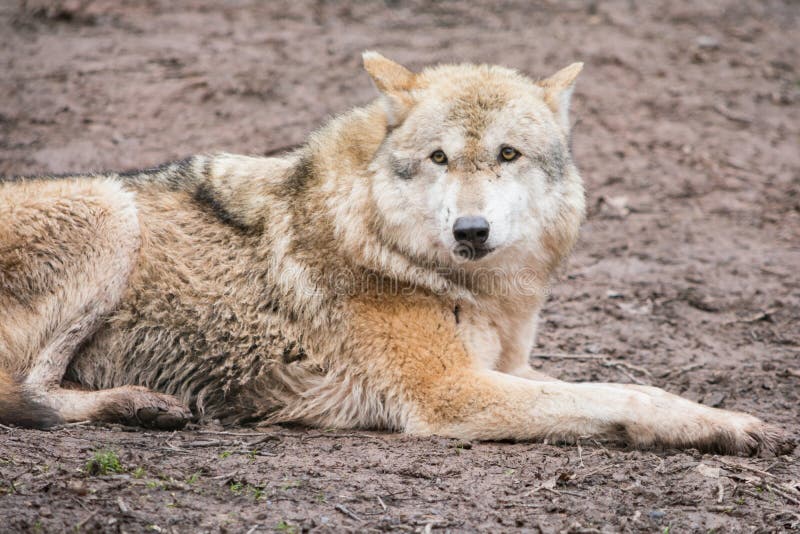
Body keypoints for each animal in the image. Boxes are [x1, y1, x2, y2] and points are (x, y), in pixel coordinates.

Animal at [0, 52, 791, 455]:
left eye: (507, 154)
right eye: (439, 158)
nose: (470, 231)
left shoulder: (503, 366)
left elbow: (615, 385)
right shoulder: (452, 391)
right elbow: (624, 393)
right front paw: (725, 427)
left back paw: (145, 407)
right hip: (112, 212)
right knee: (23, 393)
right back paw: (139, 406)